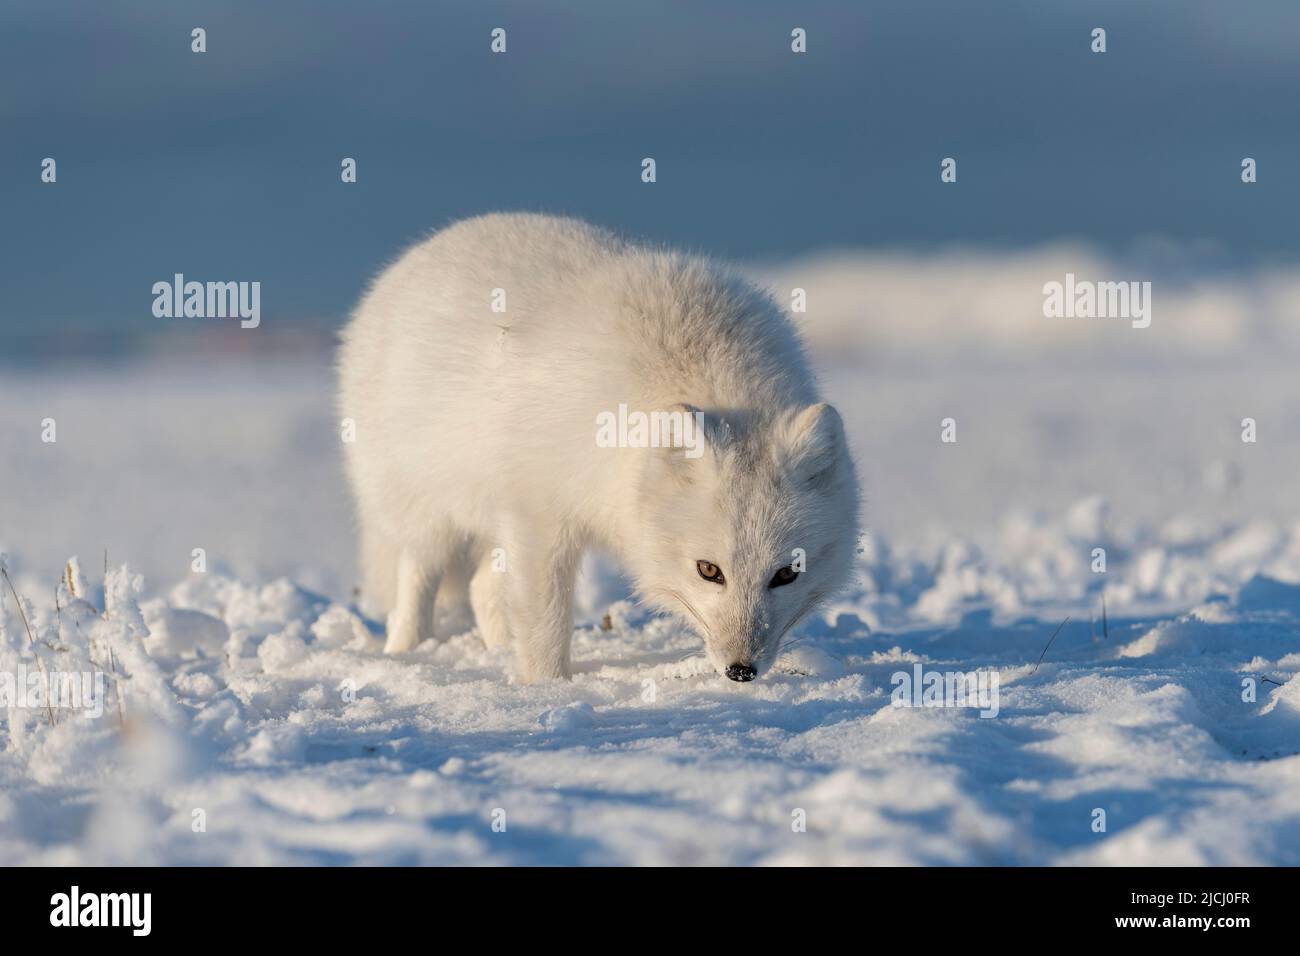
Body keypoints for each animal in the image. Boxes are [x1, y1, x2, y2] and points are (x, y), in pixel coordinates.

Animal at [337, 213, 860, 683]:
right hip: (423, 509)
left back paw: (498, 652)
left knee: (482, 590)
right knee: (418, 580)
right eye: (709, 570)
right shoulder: (539, 515)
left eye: (787, 574)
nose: (741, 671)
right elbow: (546, 622)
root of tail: (421, 251)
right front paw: (547, 690)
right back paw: (406, 652)